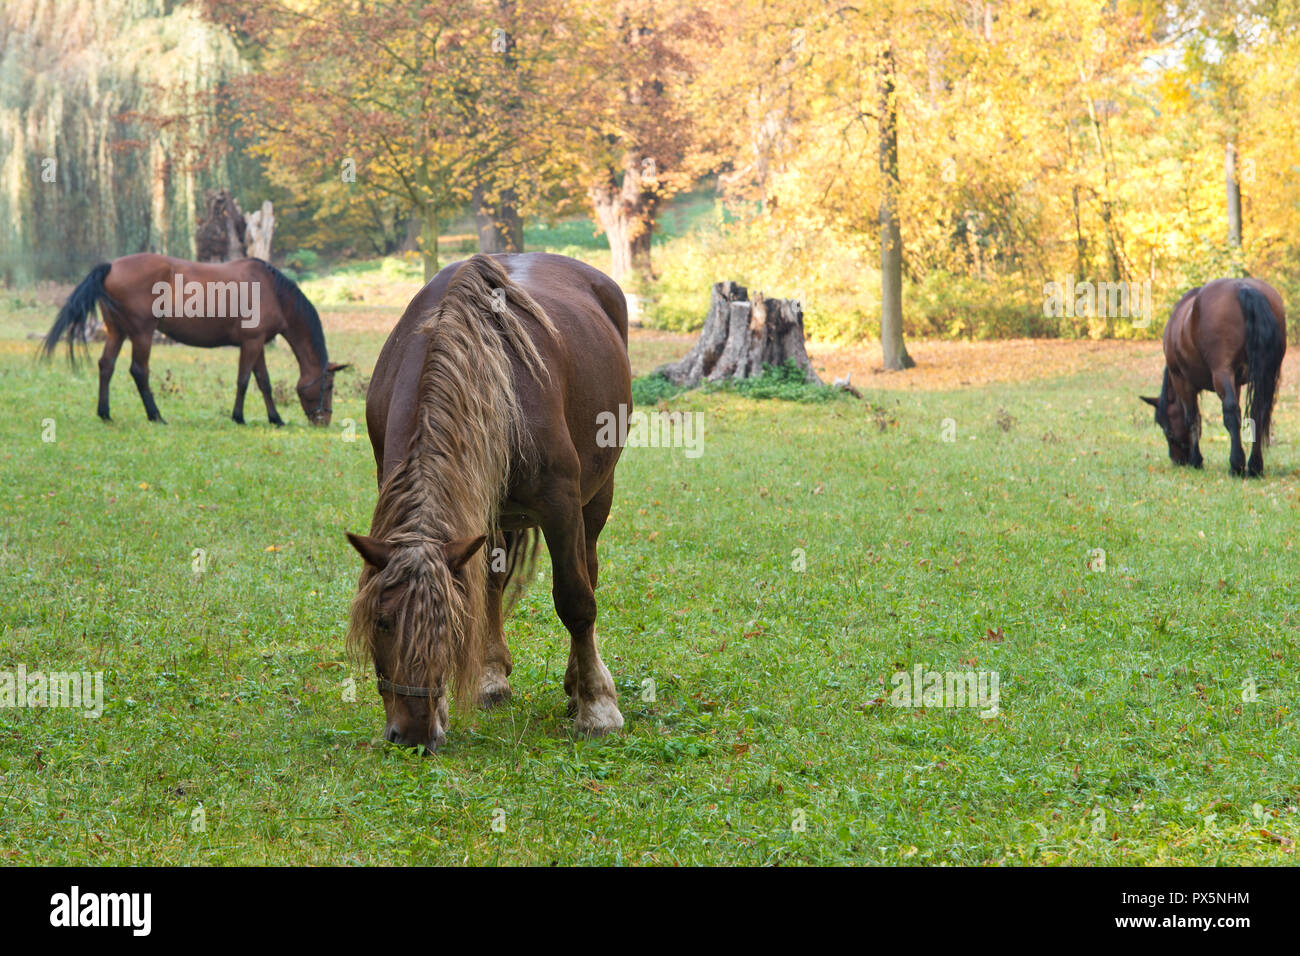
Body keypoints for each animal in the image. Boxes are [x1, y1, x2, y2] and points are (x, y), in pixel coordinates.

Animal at [42, 253, 348, 425]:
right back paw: (155, 415)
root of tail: (111, 266)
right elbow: (244, 381)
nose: (324, 420)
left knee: (106, 366)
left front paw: (275, 419)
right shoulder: (251, 343)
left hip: (117, 332)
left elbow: (264, 383)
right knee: (139, 371)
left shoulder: (258, 343)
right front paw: (239, 417)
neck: (273, 291)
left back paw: (105, 413)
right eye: (330, 385)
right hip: (142, 333)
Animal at [345, 252, 631, 751]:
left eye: (449, 625)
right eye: (382, 622)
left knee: (588, 572)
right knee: (494, 582)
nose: (412, 733)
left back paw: (578, 684)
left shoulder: (561, 504)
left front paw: (597, 707)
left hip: (597, 495)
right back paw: (492, 677)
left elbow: (576, 600)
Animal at [1141, 278, 1286, 476]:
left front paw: (1196, 460)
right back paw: (1255, 466)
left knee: (1231, 413)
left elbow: (1192, 418)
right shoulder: (1237, 383)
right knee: (1259, 412)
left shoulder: (1181, 380)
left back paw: (1236, 465)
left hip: (1221, 372)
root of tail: (1244, 287)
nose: (1177, 460)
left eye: (1166, 429)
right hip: (1266, 375)